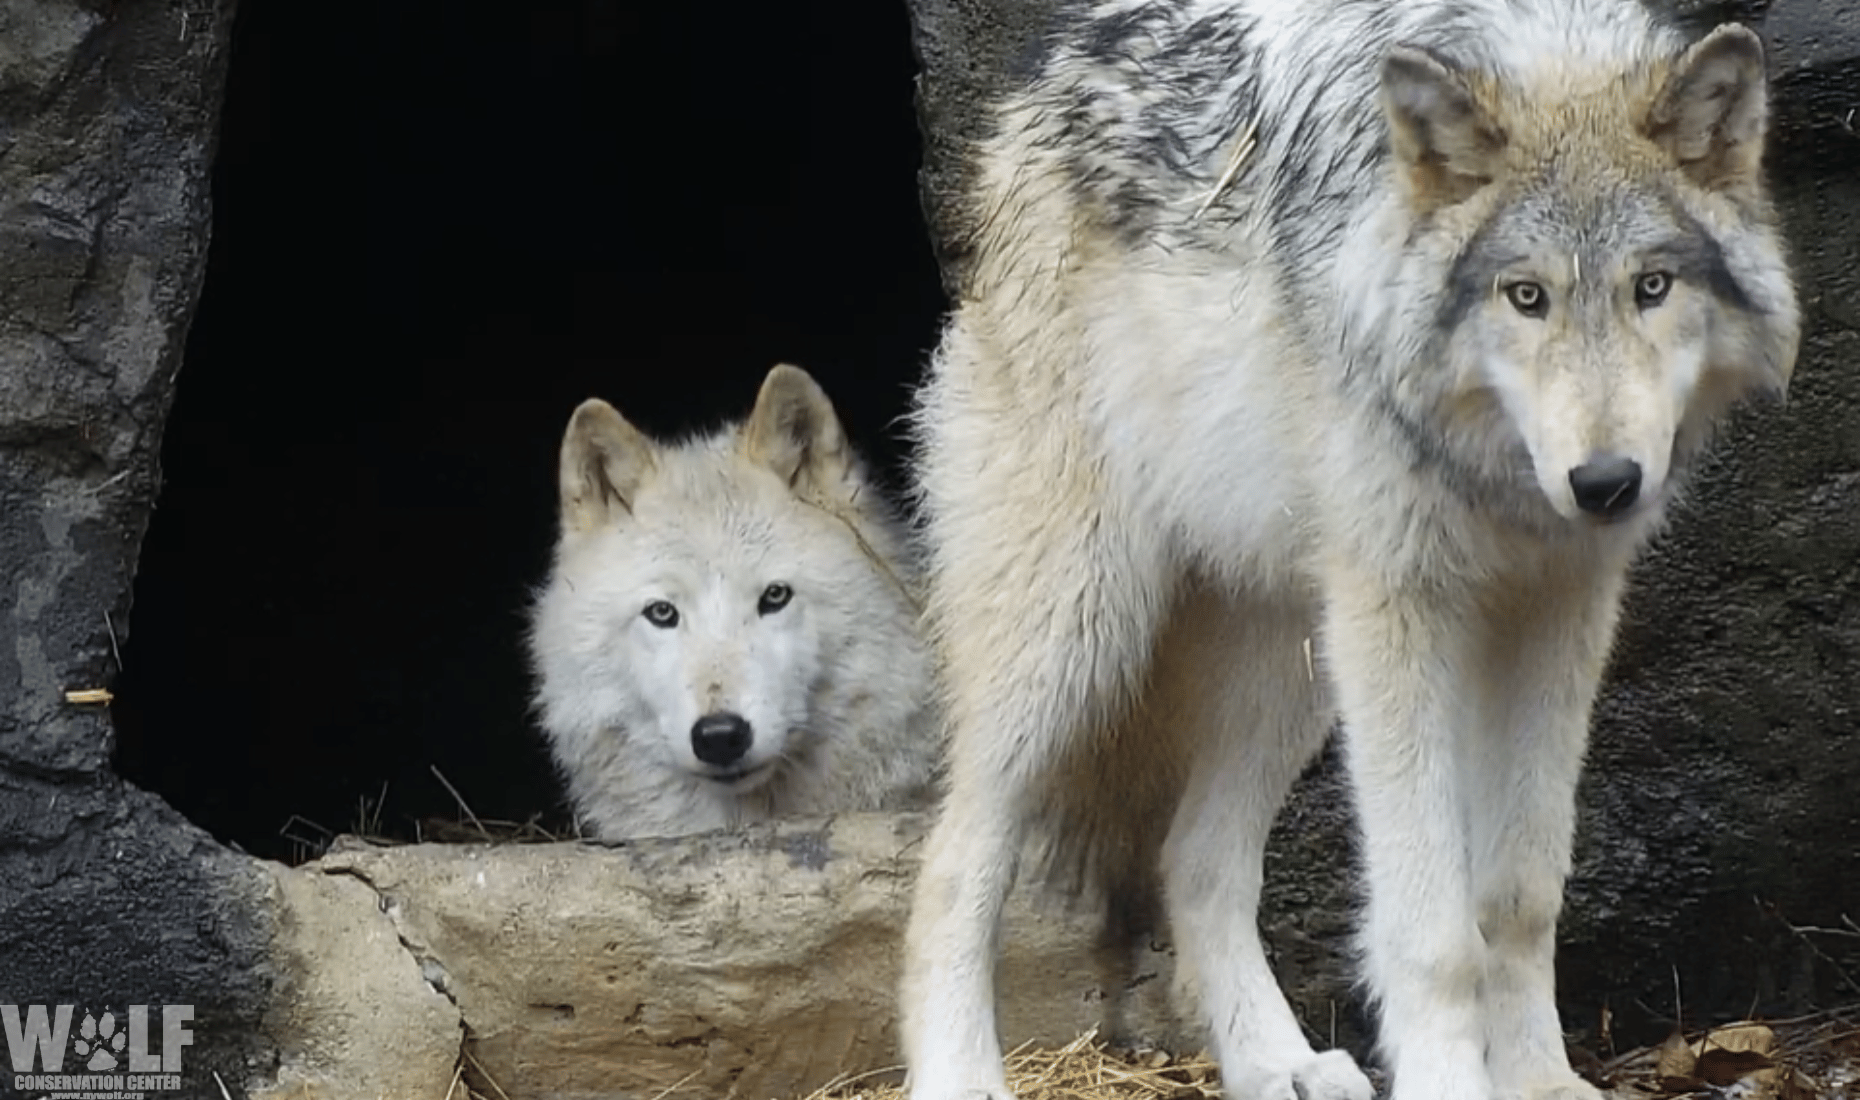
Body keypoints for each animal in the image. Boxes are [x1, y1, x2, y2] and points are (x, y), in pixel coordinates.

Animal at [898, 2, 1800, 1099]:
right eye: (1526, 295)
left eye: (1653, 287)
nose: (1606, 483)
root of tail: (1042, 76)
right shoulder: (1402, 611)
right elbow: (1432, 928)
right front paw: (1452, 1084)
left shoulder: (1560, 612)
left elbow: (1520, 895)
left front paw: (1540, 1080)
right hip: (1082, 637)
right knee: (953, 859)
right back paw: (961, 1073)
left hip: (1294, 665)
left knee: (1195, 860)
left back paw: (1275, 1062)